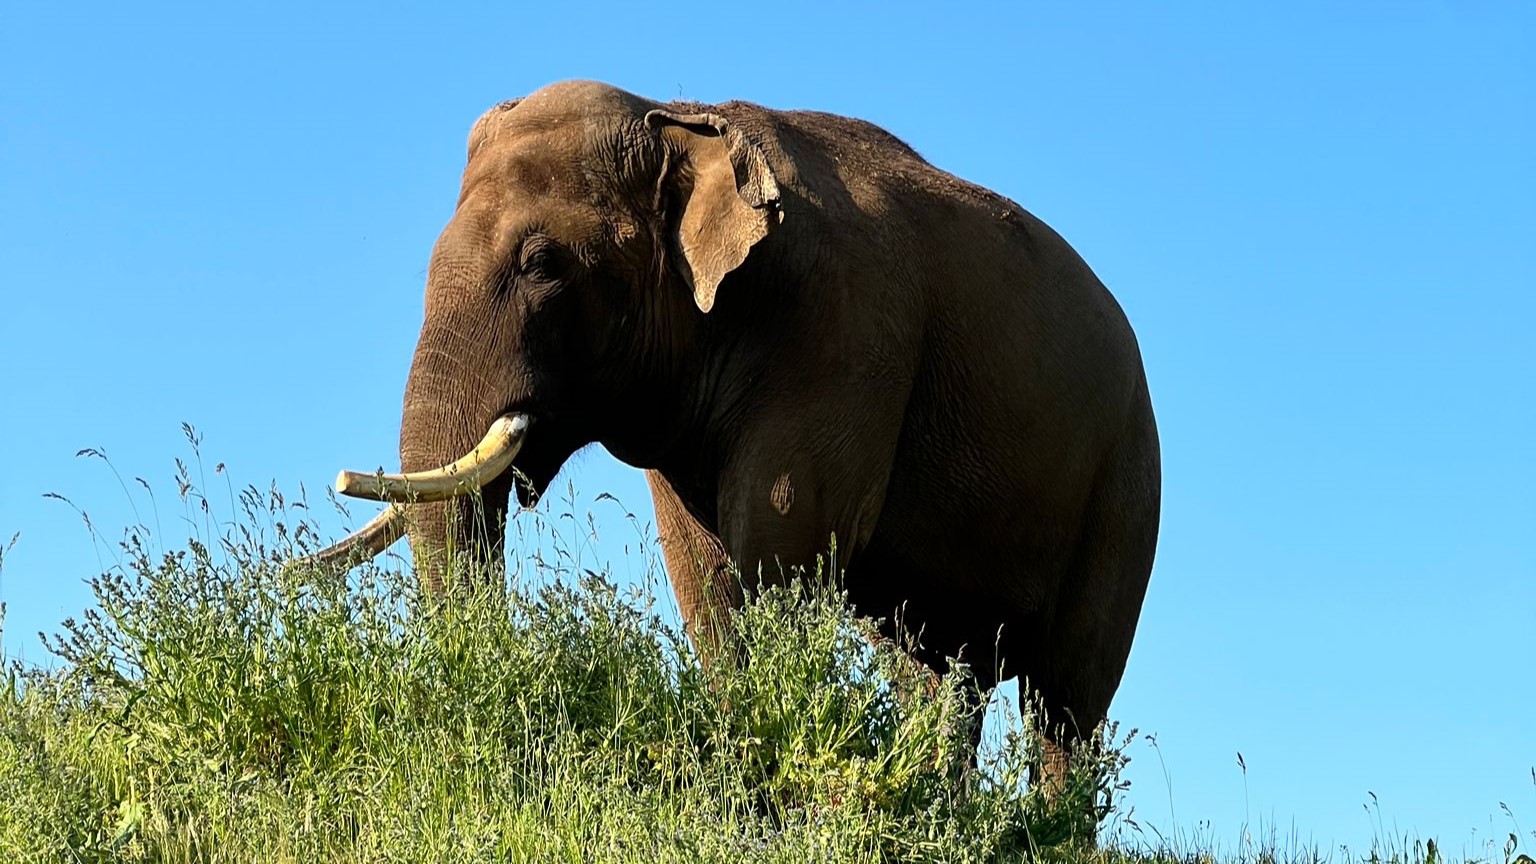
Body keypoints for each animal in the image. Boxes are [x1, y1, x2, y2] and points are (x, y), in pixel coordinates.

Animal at [312, 80, 1161, 793]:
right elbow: (700, 561)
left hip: (1126, 478)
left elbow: (782, 532)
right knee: (932, 673)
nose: (341, 482)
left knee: (1067, 695)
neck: (681, 118)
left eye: (543, 263)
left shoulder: (847, 334)